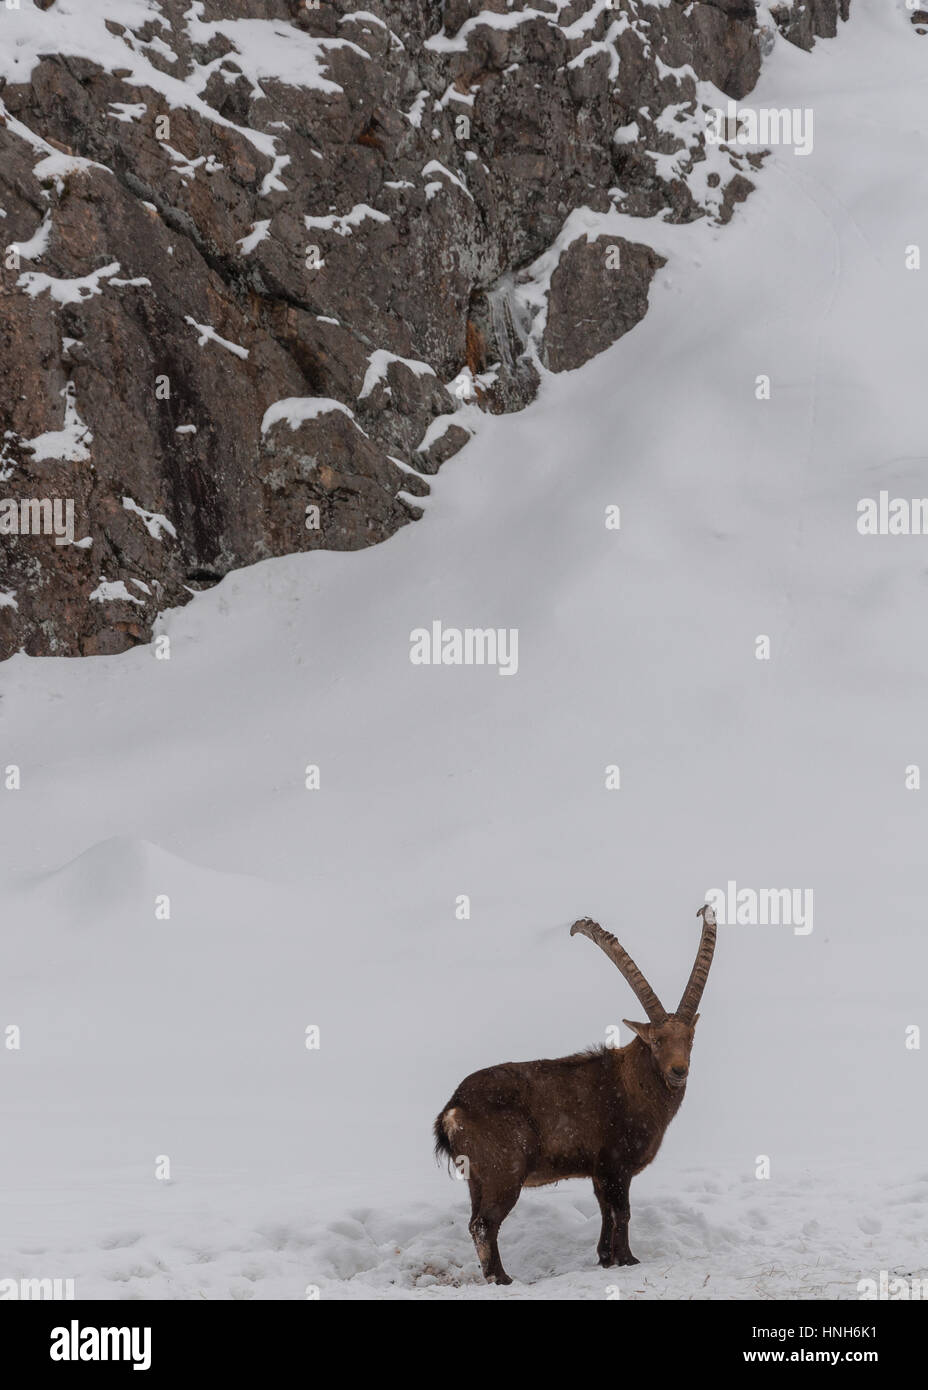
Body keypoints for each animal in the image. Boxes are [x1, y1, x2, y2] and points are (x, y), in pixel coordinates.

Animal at [433, 904, 717, 1284]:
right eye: (656, 1040)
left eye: (689, 1038)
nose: (678, 1071)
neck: (633, 1086)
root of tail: (453, 1110)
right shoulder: (617, 1164)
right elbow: (622, 1212)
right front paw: (628, 1260)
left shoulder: (599, 1171)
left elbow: (605, 1211)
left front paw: (605, 1258)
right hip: (503, 1172)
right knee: (483, 1224)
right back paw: (503, 1279)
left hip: (476, 1178)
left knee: (475, 1221)